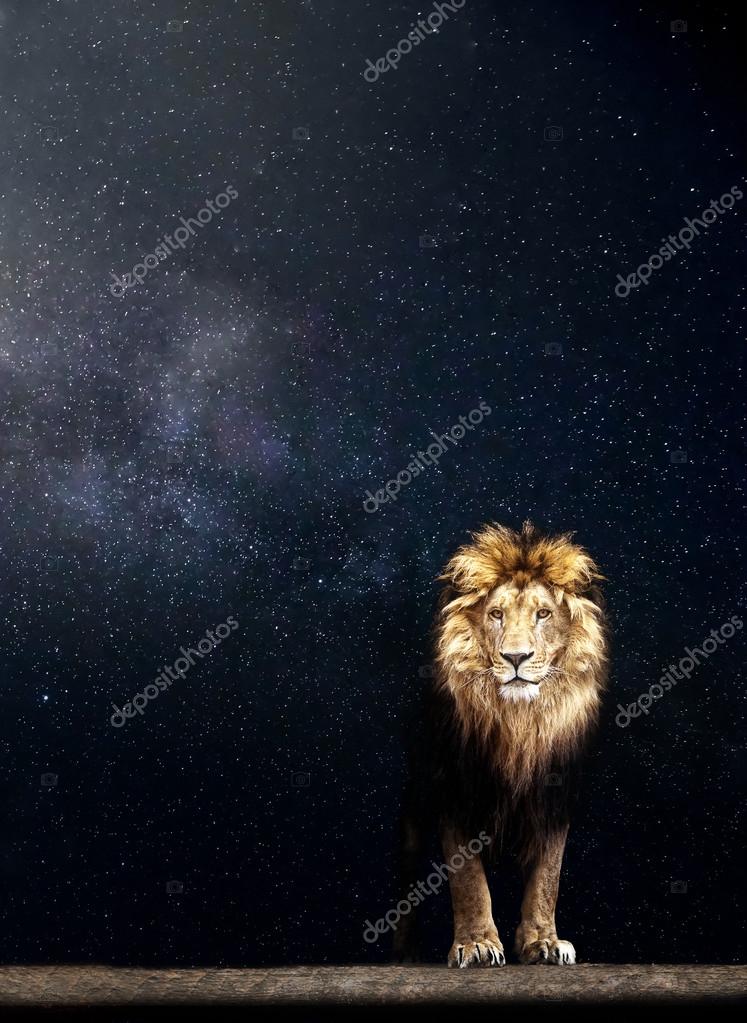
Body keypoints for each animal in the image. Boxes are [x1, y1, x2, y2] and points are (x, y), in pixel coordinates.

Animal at [393, 521, 608, 967]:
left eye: (543, 614)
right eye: (496, 614)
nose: (516, 657)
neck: (519, 722)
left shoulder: (554, 796)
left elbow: (547, 877)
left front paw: (543, 942)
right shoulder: (455, 790)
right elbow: (469, 880)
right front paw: (476, 944)